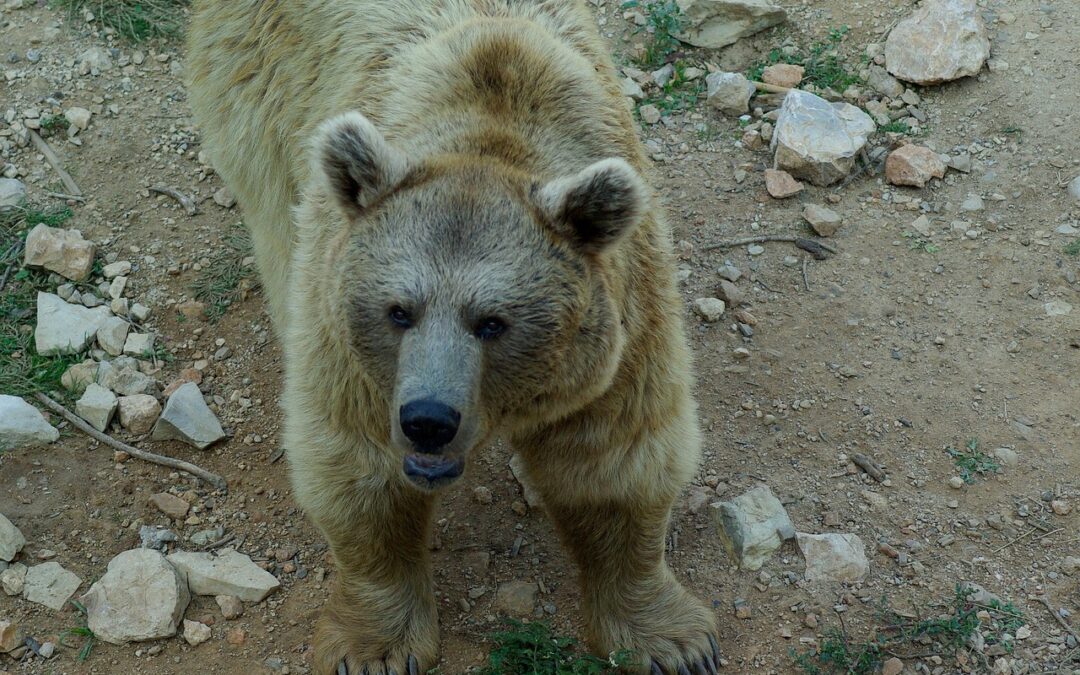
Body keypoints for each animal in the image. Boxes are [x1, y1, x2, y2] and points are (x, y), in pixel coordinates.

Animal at [185, 1, 717, 673]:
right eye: (399, 311)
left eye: (493, 322)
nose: (428, 420)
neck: (491, 126)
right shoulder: (352, 355)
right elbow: (360, 468)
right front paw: (375, 646)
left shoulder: (621, 330)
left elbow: (613, 463)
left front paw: (673, 640)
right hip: (260, 98)